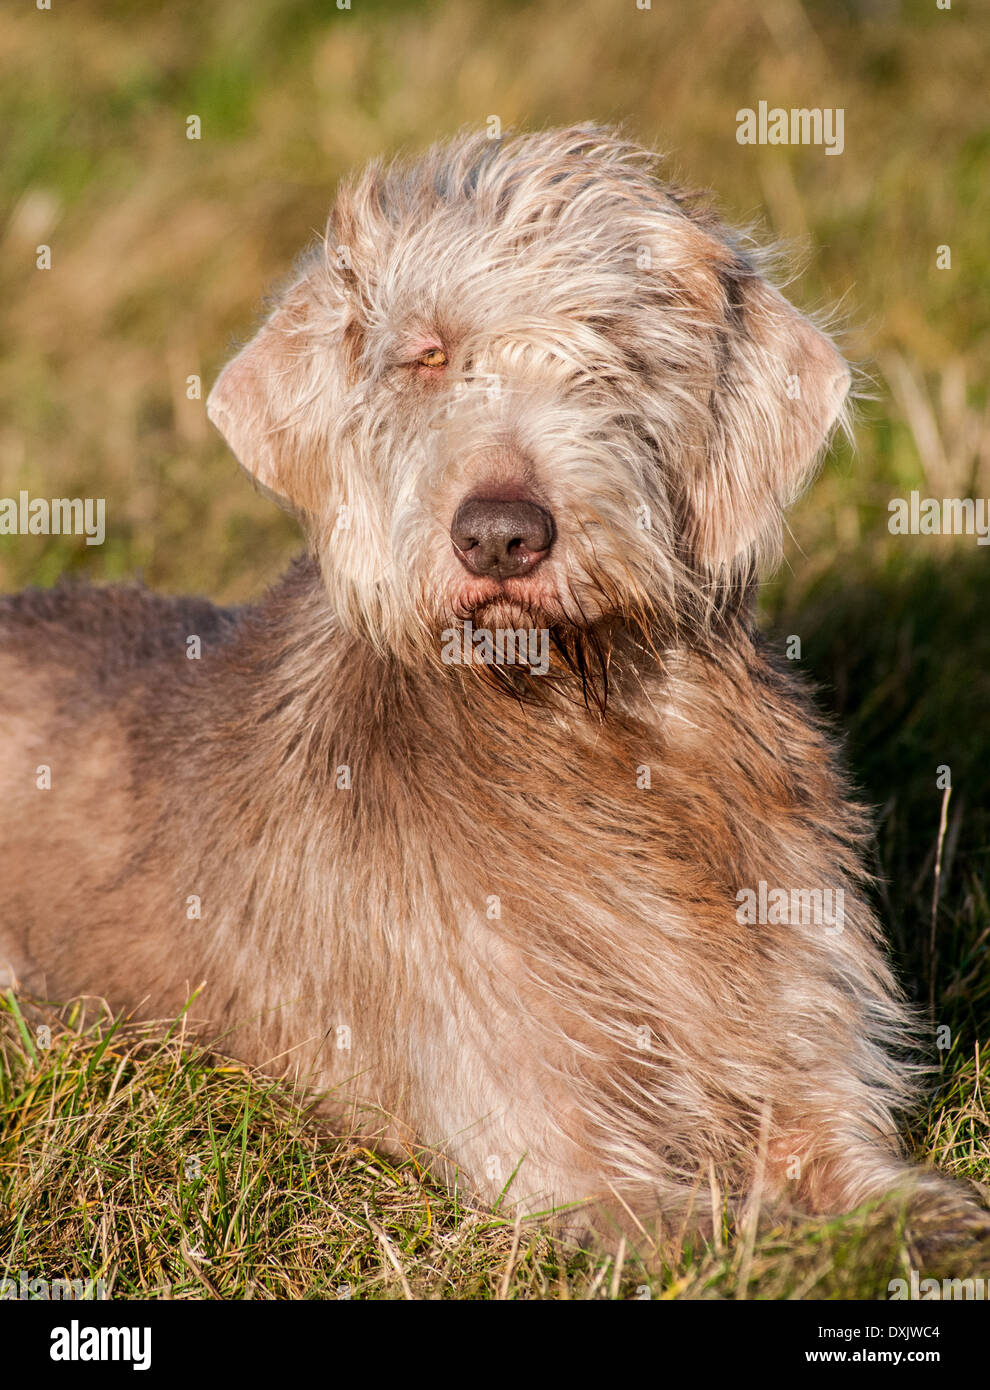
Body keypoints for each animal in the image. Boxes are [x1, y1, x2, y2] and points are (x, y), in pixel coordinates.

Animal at [0, 127, 978, 1239]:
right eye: (425, 355)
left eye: (613, 348)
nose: (502, 533)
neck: (582, 730)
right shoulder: (559, 1152)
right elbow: (747, 1235)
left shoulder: (809, 1050)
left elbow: (863, 1178)